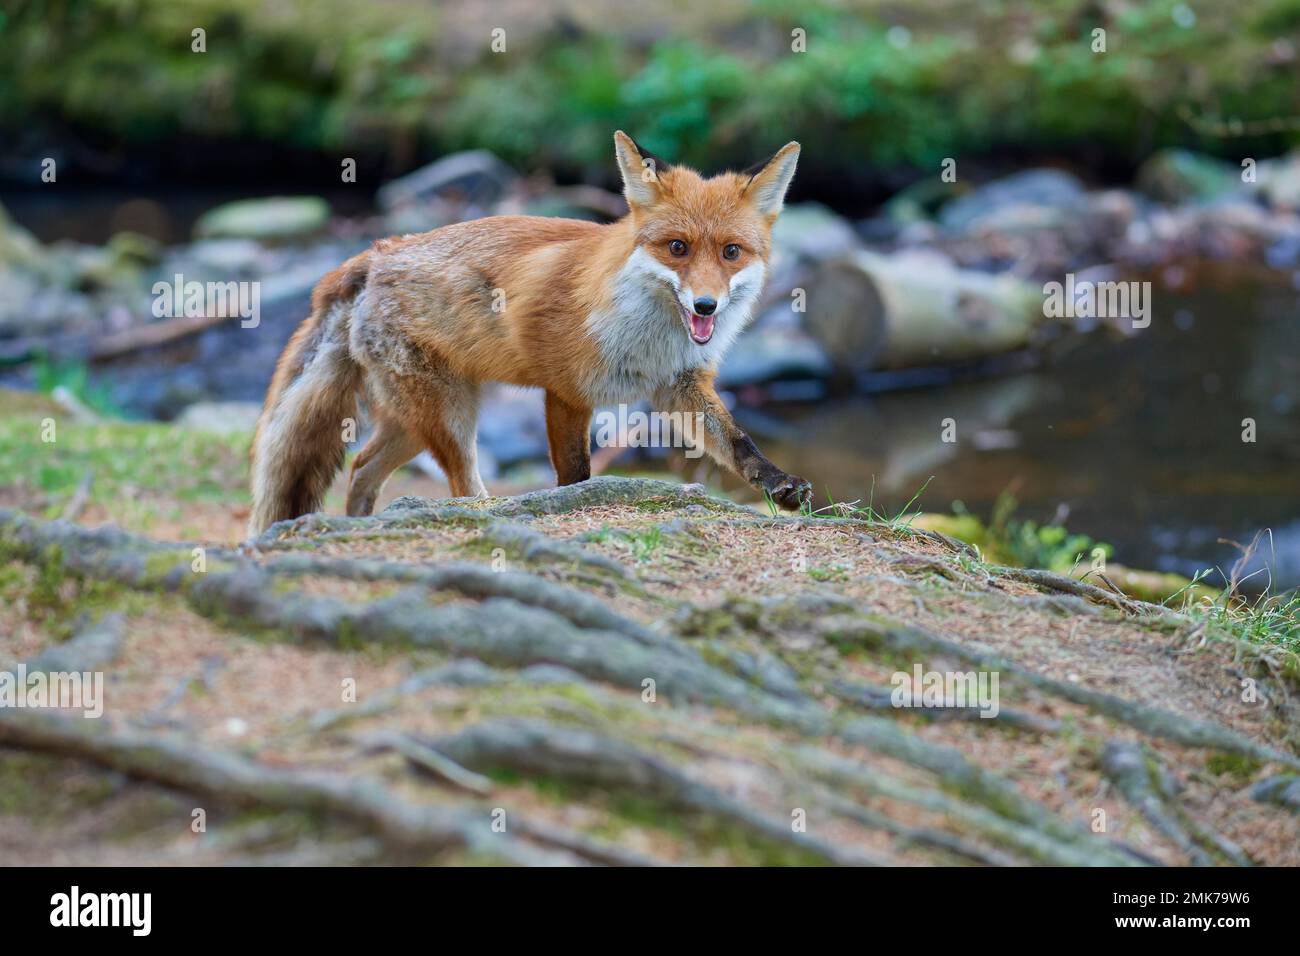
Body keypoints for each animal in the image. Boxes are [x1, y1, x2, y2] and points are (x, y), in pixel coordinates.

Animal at [247, 131, 813, 536]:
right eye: (677, 247)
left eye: (731, 252)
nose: (705, 305)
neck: (649, 338)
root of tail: (374, 253)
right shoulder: (566, 393)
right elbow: (576, 475)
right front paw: (573, 504)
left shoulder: (679, 385)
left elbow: (738, 443)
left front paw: (778, 485)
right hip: (449, 417)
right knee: (458, 486)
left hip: (417, 418)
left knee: (362, 467)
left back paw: (362, 524)